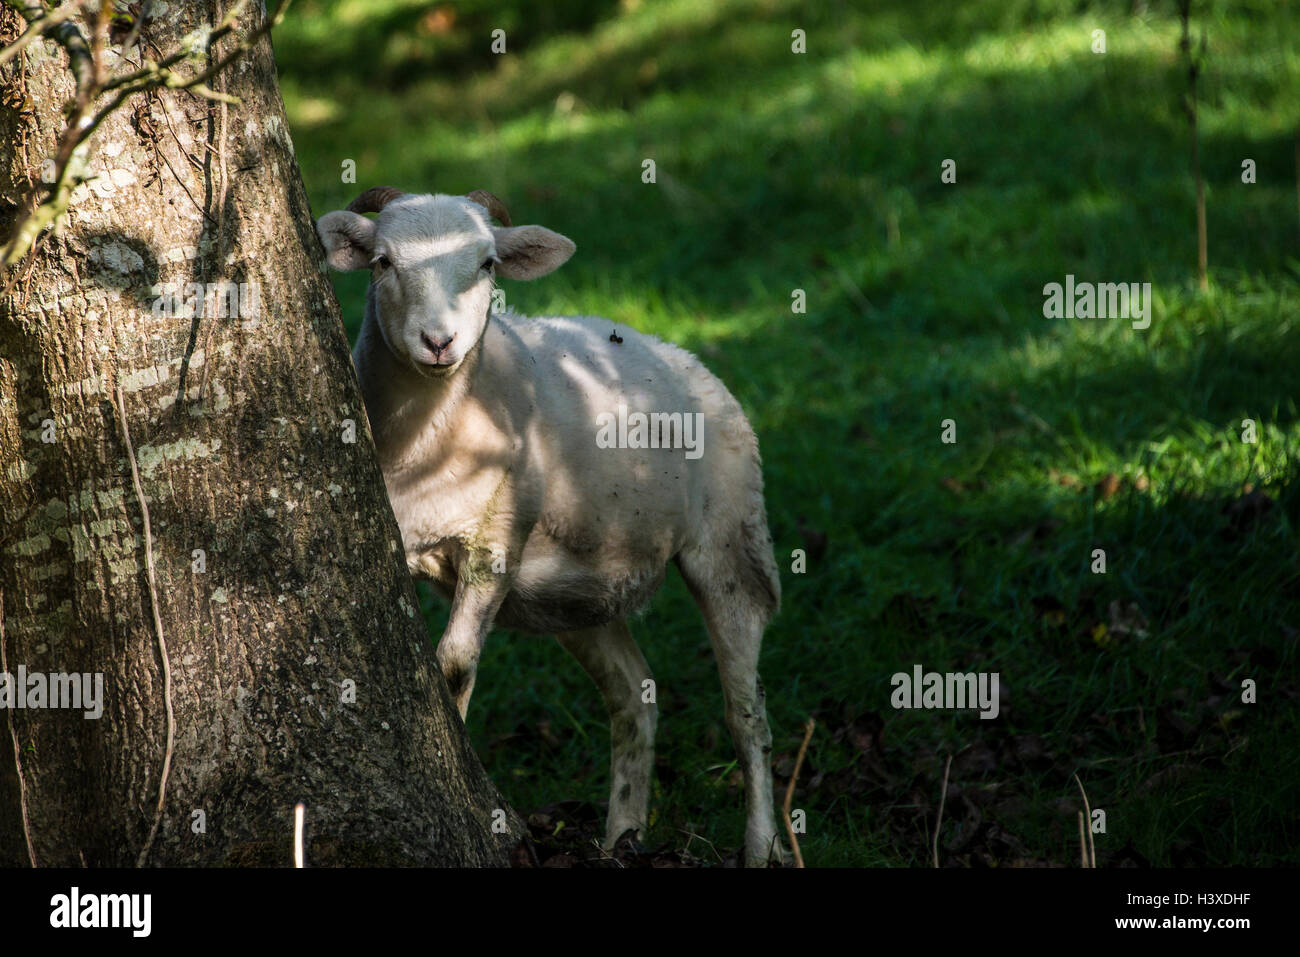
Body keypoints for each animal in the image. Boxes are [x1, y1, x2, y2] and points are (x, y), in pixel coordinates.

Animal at [316, 187, 787, 866]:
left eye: (487, 264)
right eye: (382, 262)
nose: (439, 342)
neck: (423, 441)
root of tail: (688, 359)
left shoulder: (495, 542)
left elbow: (453, 664)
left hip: (731, 540)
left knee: (747, 713)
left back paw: (761, 844)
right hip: (576, 592)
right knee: (633, 697)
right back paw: (621, 839)